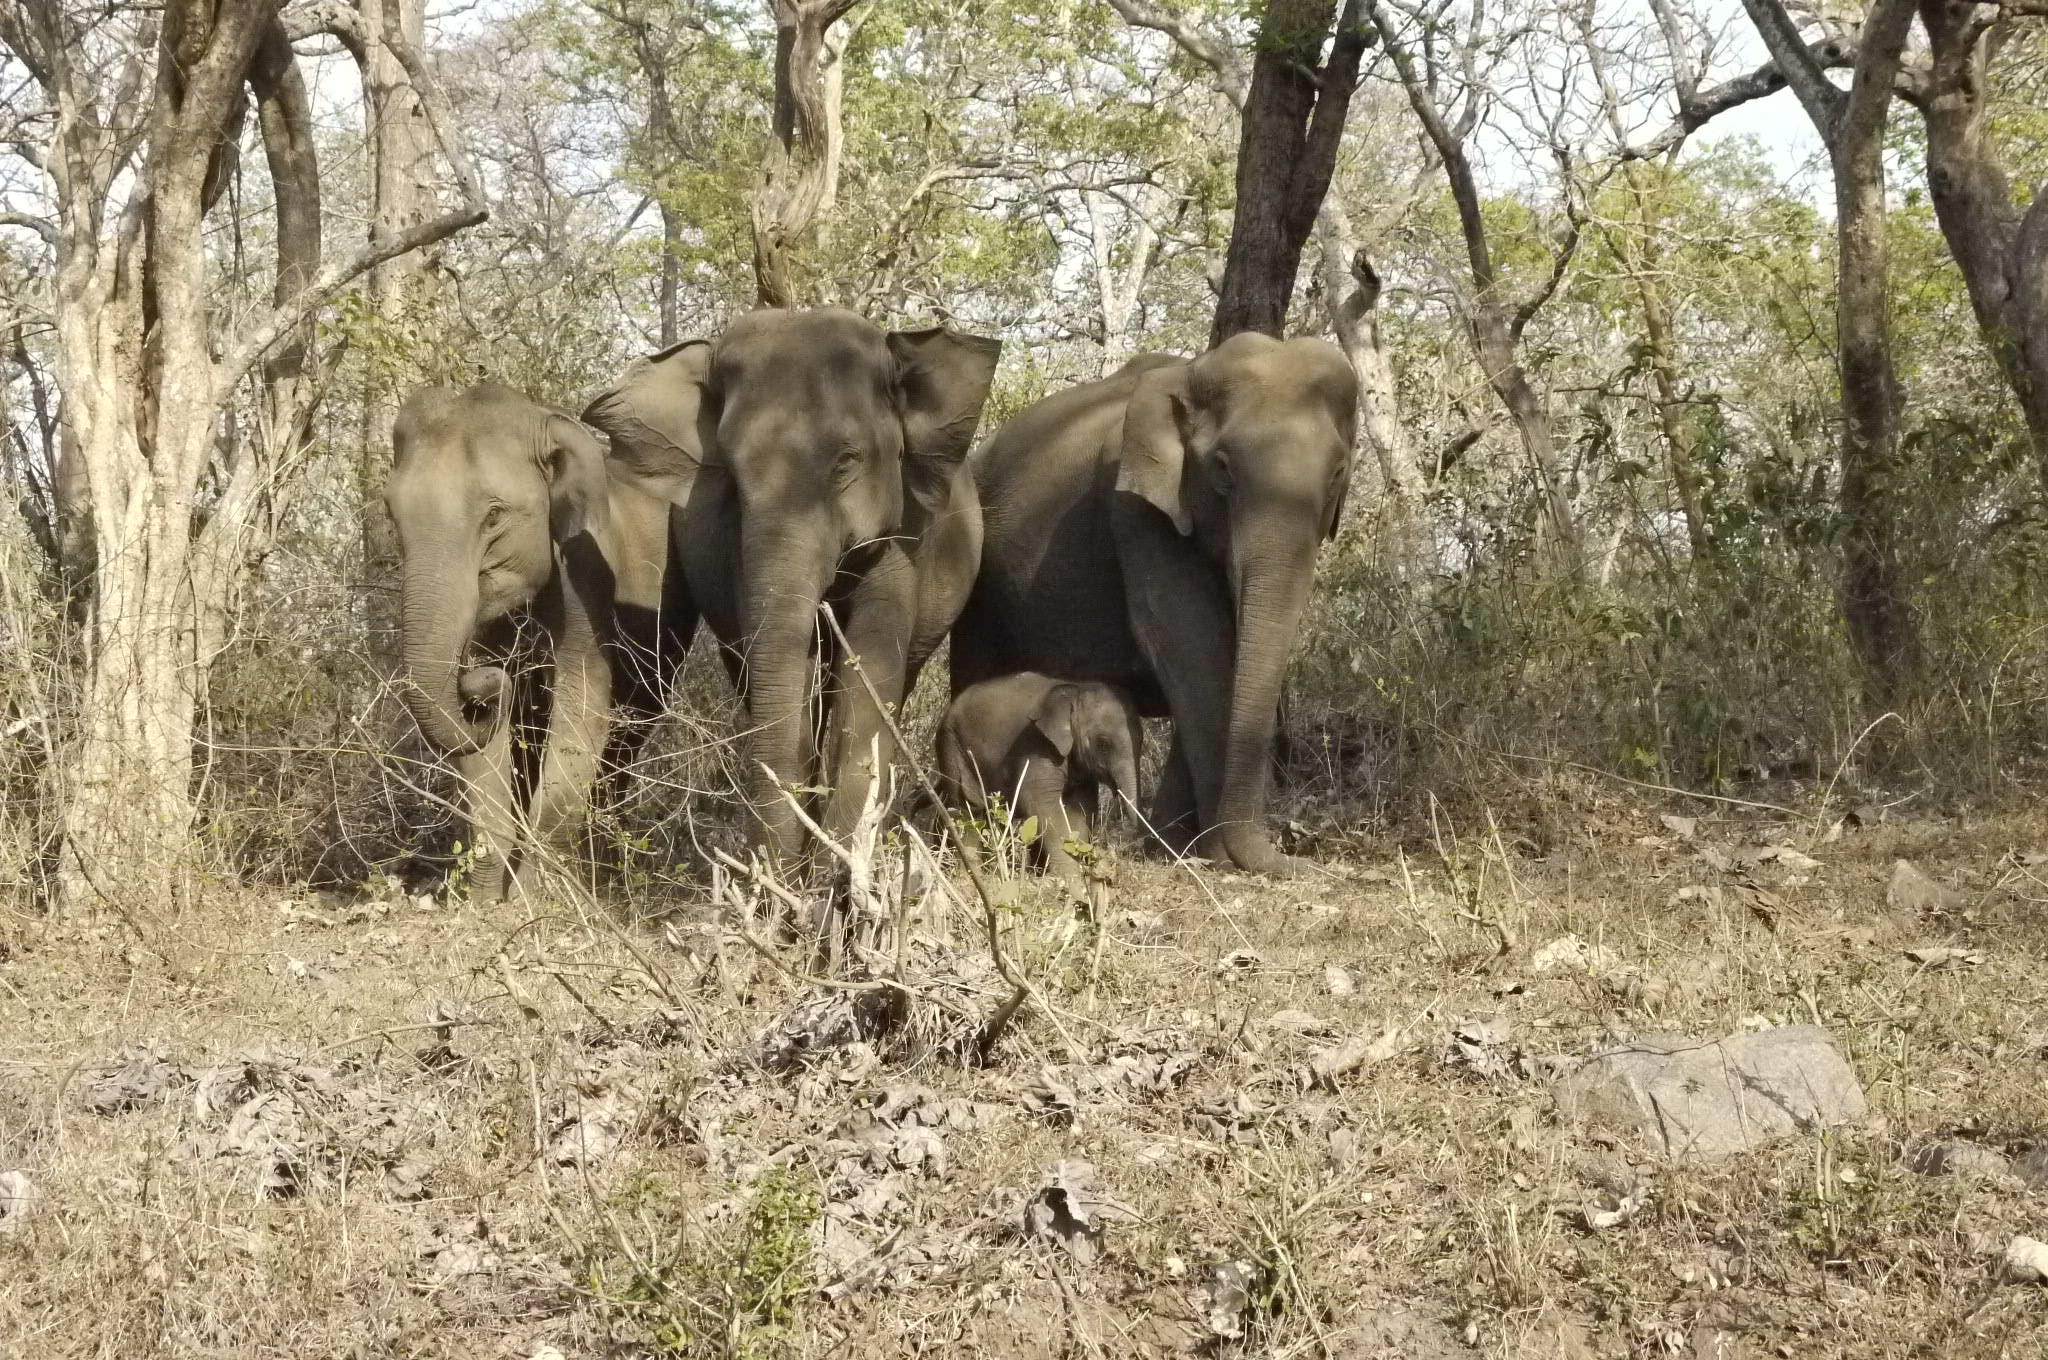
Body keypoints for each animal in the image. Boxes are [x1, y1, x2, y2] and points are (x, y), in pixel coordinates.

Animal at [385, 383, 691, 901]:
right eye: (392, 514)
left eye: (494, 515)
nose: (480, 682)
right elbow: (483, 759)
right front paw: (487, 899)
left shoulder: (586, 579)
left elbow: (581, 716)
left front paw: (534, 897)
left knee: (628, 734)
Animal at [581, 307, 1001, 860]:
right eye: (732, 477)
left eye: (847, 461)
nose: (770, 867)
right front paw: (796, 873)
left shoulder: (907, 532)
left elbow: (869, 680)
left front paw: (837, 871)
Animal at [936, 672, 1143, 892]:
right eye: (1103, 743)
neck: (1075, 689)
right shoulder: (1036, 746)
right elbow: (1041, 805)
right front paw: (1071, 881)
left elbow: (1080, 810)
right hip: (951, 746)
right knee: (966, 808)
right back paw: (969, 880)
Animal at [950, 331, 1358, 876]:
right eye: (1222, 468)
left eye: (1338, 473)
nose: (1305, 861)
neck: (1191, 374)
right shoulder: (1136, 509)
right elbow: (1191, 643)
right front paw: (1209, 855)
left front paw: (1179, 848)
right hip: (980, 577)